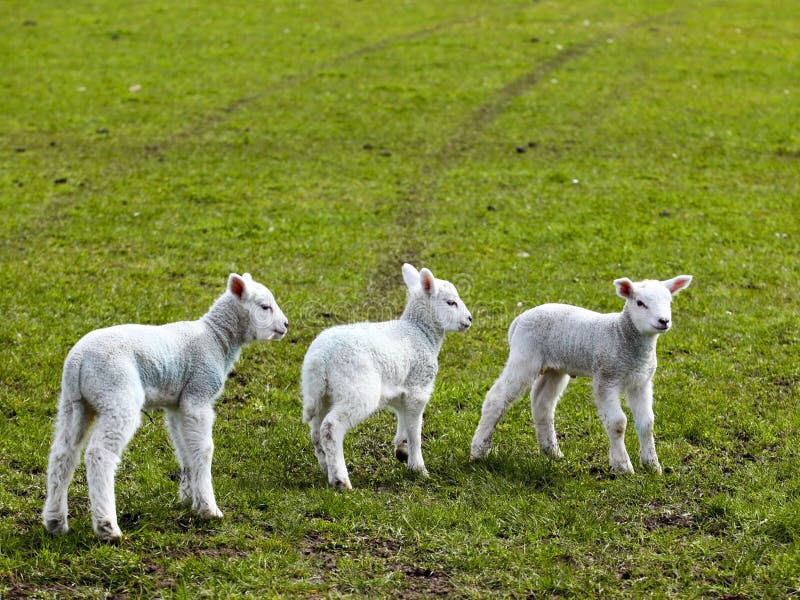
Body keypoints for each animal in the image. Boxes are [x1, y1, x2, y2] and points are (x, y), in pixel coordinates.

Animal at [42, 273, 288, 541]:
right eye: (265, 307)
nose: (286, 325)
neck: (216, 339)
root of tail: (78, 361)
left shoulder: (178, 406)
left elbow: (184, 449)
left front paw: (189, 497)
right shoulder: (198, 395)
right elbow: (204, 449)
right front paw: (209, 508)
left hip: (73, 403)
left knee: (63, 453)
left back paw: (55, 521)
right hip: (117, 395)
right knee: (99, 454)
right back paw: (107, 527)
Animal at [301, 263, 472, 490]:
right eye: (451, 302)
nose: (469, 319)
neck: (420, 332)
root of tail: (320, 359)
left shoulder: (400, 390)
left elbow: (403, 419)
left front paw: (402, 450)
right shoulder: (418, 388)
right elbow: (415, 429)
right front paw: (418, 467)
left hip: (320, 393)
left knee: (316, 430)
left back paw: (326, 468)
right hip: (357, 389)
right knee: (330, 427)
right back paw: (340, 480)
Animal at [470, 275, 692, 474]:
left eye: (669, 302)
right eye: (640, 303)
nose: (664, 321)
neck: (622, 336)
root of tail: (518, 320)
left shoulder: (641, 382)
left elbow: (647, 423)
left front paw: (652, 465)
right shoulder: (606, 378)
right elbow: (618, 423)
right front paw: (623, 466)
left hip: (555, 367)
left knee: (542, 403)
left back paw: (552, 451)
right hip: (524, 356)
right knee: (496, 398)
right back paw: (479, 451)